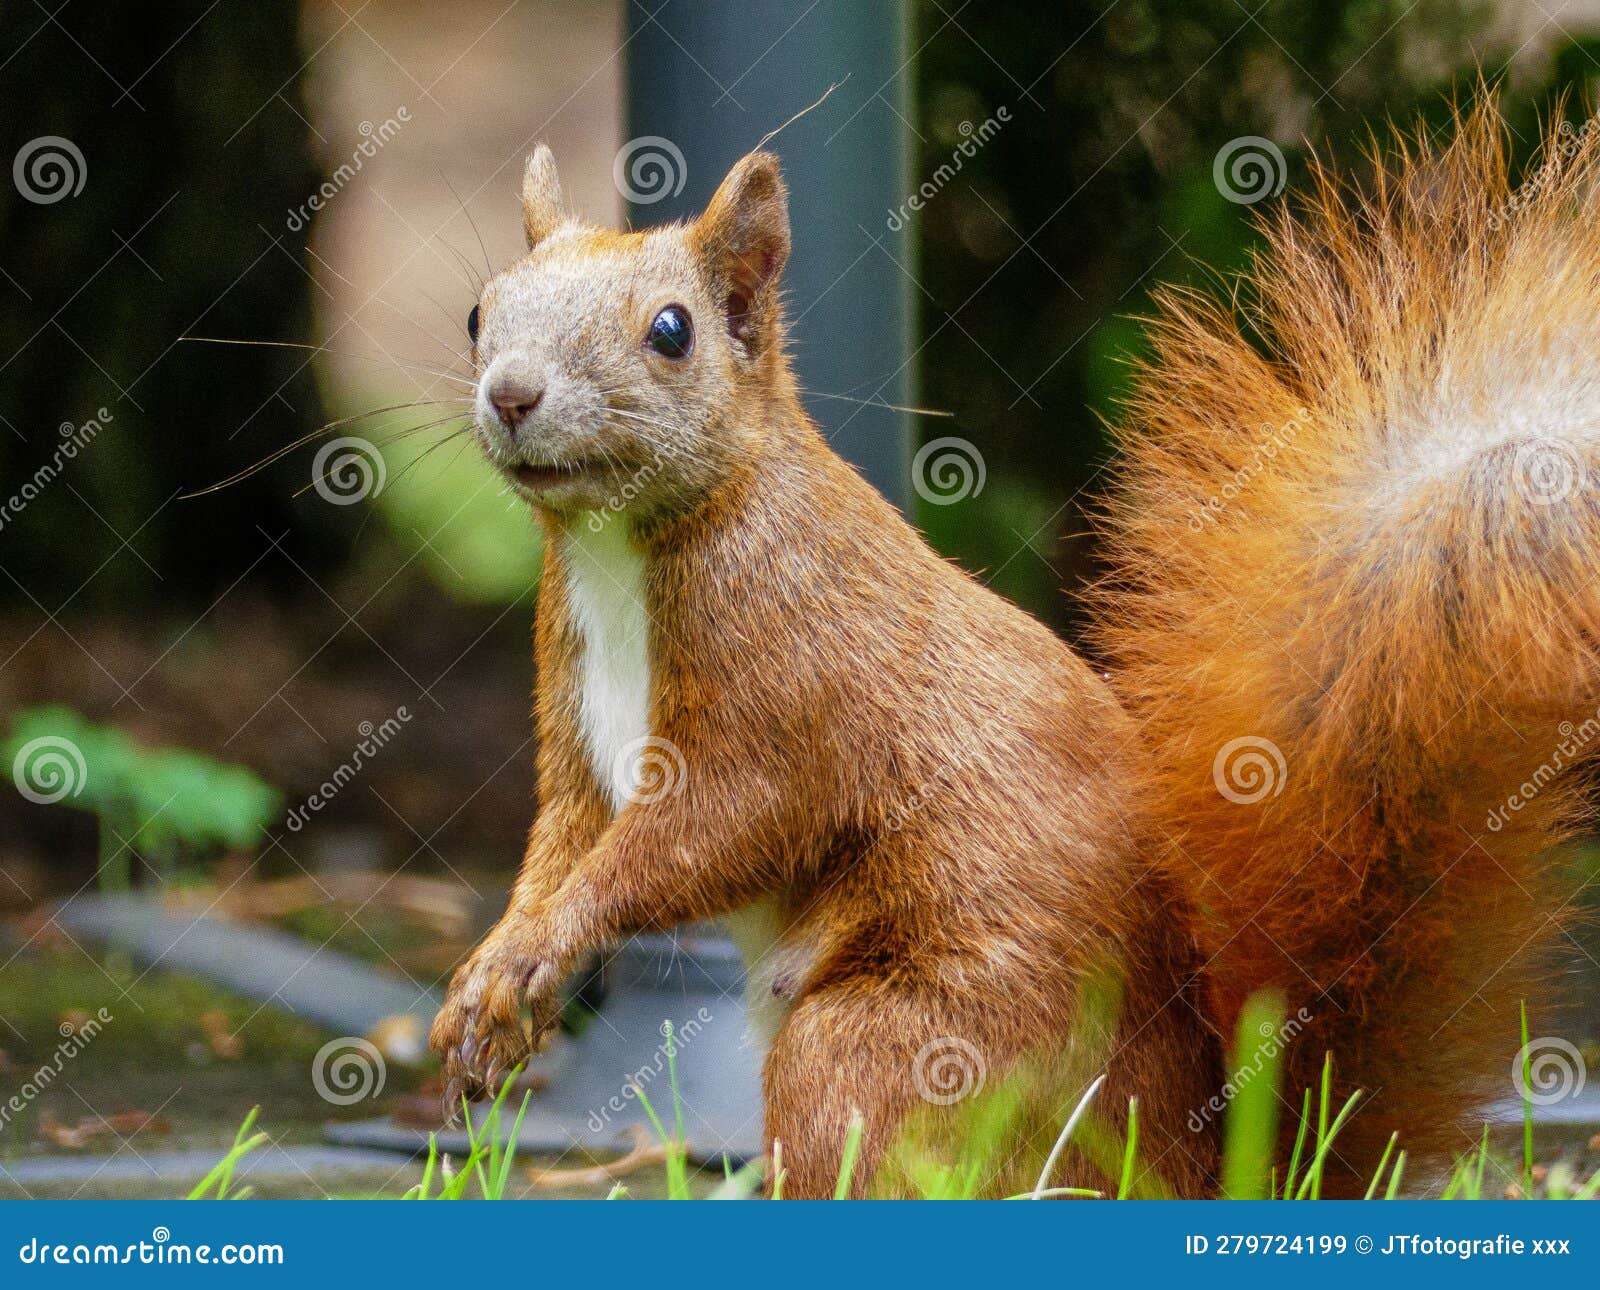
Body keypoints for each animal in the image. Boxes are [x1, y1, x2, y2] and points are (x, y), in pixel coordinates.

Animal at [429, 98, 1587, 1198]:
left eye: (671, 330)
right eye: (480, 310)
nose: (511, 393)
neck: (621, 548)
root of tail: (1186, 1167)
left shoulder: (788, 682)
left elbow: (711, 829)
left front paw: (541, 950)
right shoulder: (575, 718)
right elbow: (564, 840)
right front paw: (492, 980)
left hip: (886, 1044)